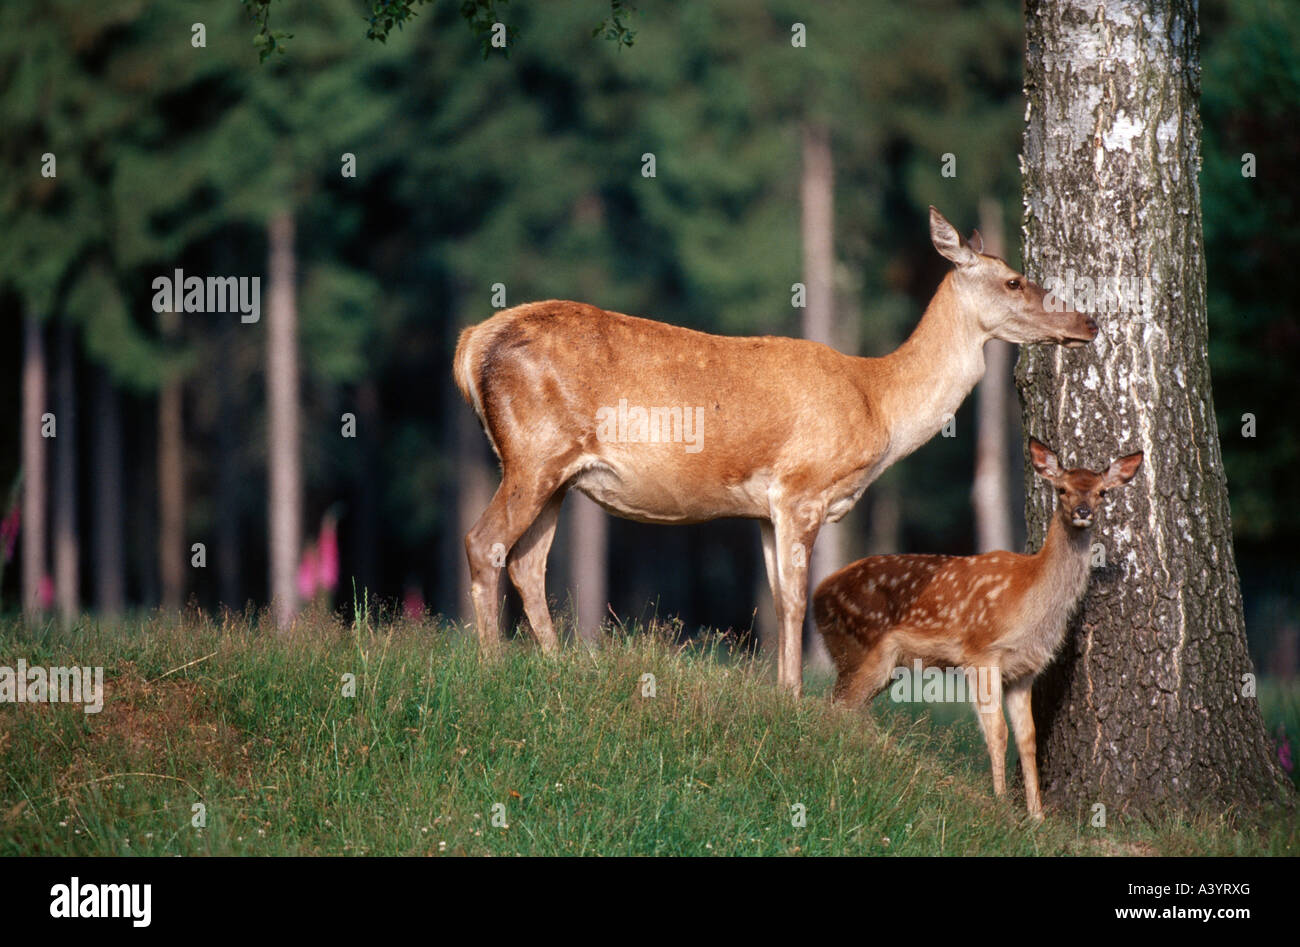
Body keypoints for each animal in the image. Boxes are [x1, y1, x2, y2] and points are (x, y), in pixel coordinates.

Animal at [453, 207, 1098, 697]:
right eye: (1013, 280)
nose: (1087, 322)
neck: (879, 403)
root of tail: (471, 343)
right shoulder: (802, 487)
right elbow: (793, 599)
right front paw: (791, 695)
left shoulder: (766, 509)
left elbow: (778, 592)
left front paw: (780, 687)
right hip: (535, 449)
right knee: (484, 541)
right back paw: (489, 666)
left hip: (559, 473)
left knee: (527, 561)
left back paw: (558, 663)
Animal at [812, 438, 1143, 818]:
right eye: (1062, 489)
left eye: (1102, 492)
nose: (1083, 511)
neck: (1030, 599)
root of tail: (817, 596)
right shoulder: (982, 653)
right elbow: (997, 732)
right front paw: (1001, 804)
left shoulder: (1024, 670)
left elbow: (1028, 738)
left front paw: (1037, 815)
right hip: (861, 647)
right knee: (839, 706)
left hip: (879, 664)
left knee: (845, 706)